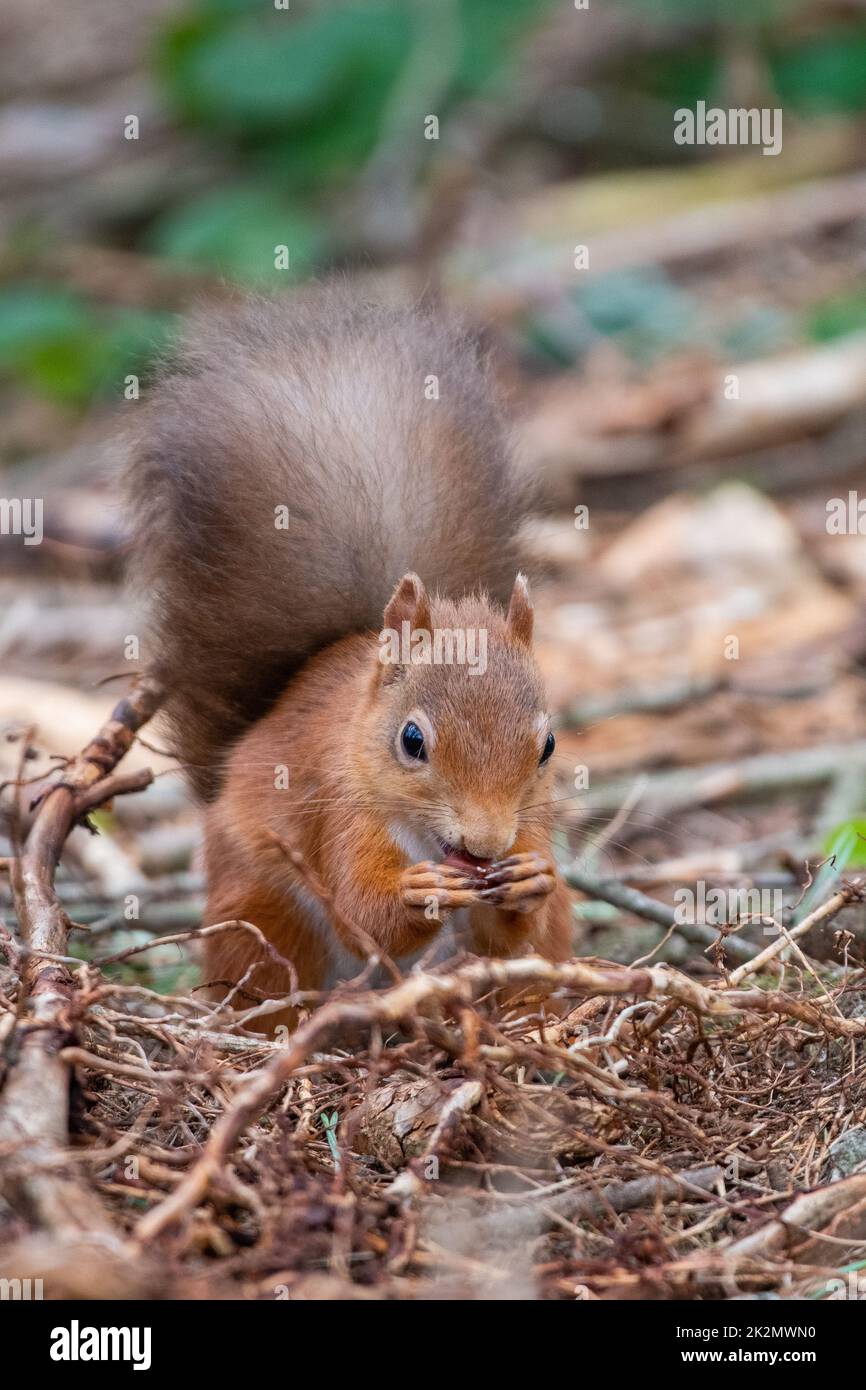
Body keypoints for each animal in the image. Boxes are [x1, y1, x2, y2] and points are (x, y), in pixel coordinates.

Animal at [127, 286, 572, 1030]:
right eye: (412, 741)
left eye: (548, 747)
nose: (485, 848)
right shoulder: (340, 814)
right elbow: (364, 917)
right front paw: (417, 893)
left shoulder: (530, 823)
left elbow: (512, 935)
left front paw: (528, 881)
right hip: (263, 913)